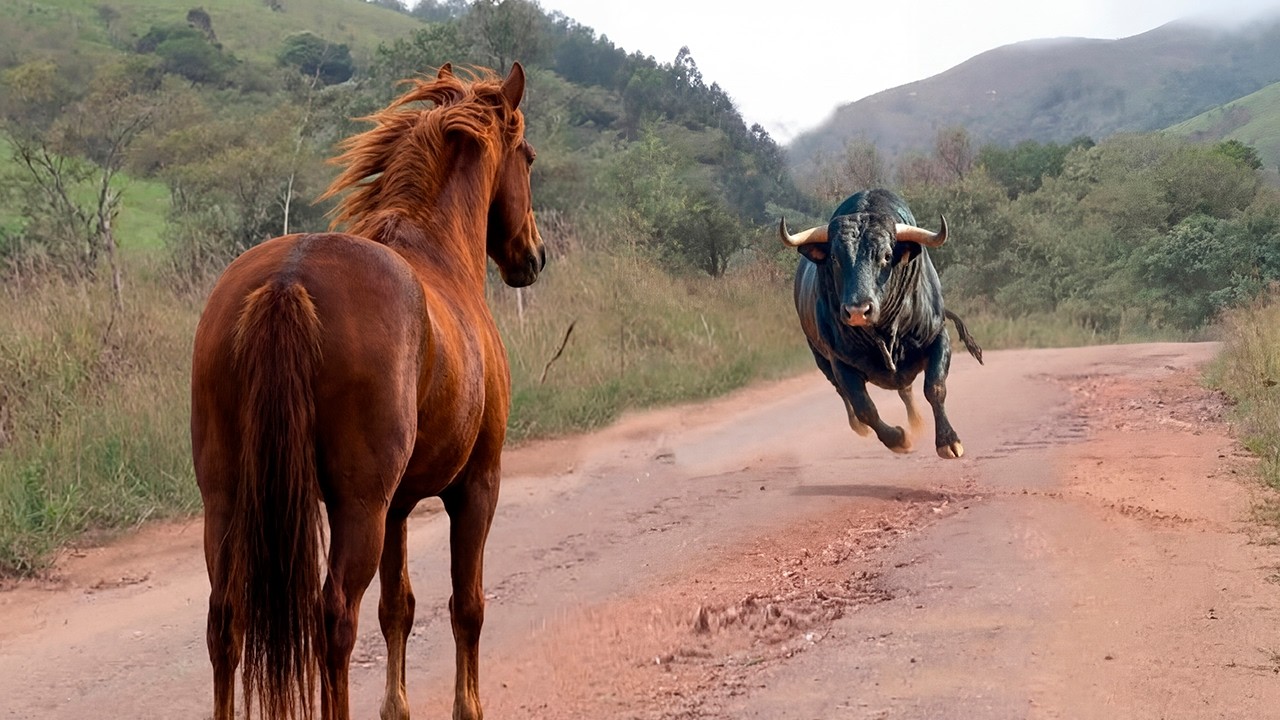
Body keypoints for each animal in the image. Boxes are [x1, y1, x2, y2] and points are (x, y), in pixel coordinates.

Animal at [190, 63, 544, 720]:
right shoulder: (476, 487)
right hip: (358, 508)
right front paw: (467, 706)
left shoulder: (398, 506)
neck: (436, 253)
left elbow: (398, 608)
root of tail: (288, 279)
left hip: (226, 499)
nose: (532, 256)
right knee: (335, 619)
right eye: (528, 157)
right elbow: (466, 606)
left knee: (225, 618)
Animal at [780, 189, 982, 459]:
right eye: (834, 257)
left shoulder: (938, 336)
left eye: (886, 256)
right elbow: (864, 407)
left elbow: (935, 387)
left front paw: (948, 441)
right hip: (820, 357)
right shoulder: (840, 361)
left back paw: (917, 420)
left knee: (906, 391)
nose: (857, 310)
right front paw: (898, 438)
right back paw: (860, 426)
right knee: (844, 395)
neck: (885, 332)